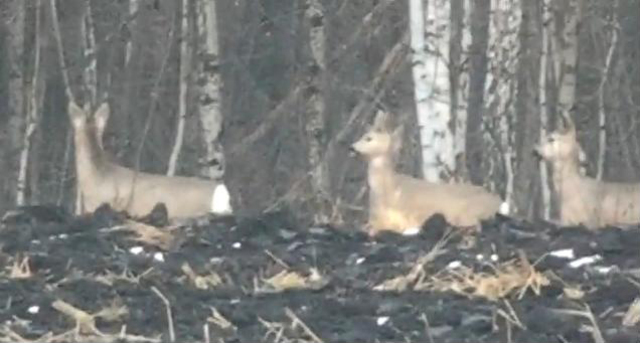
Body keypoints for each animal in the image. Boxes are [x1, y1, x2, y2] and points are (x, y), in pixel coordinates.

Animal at [350, 111, 504, 236]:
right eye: (363, 135)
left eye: (368, 138)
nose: (351, 147)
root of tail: (497, 200)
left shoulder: (401, 219)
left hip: (463, 213)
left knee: (476, 226)